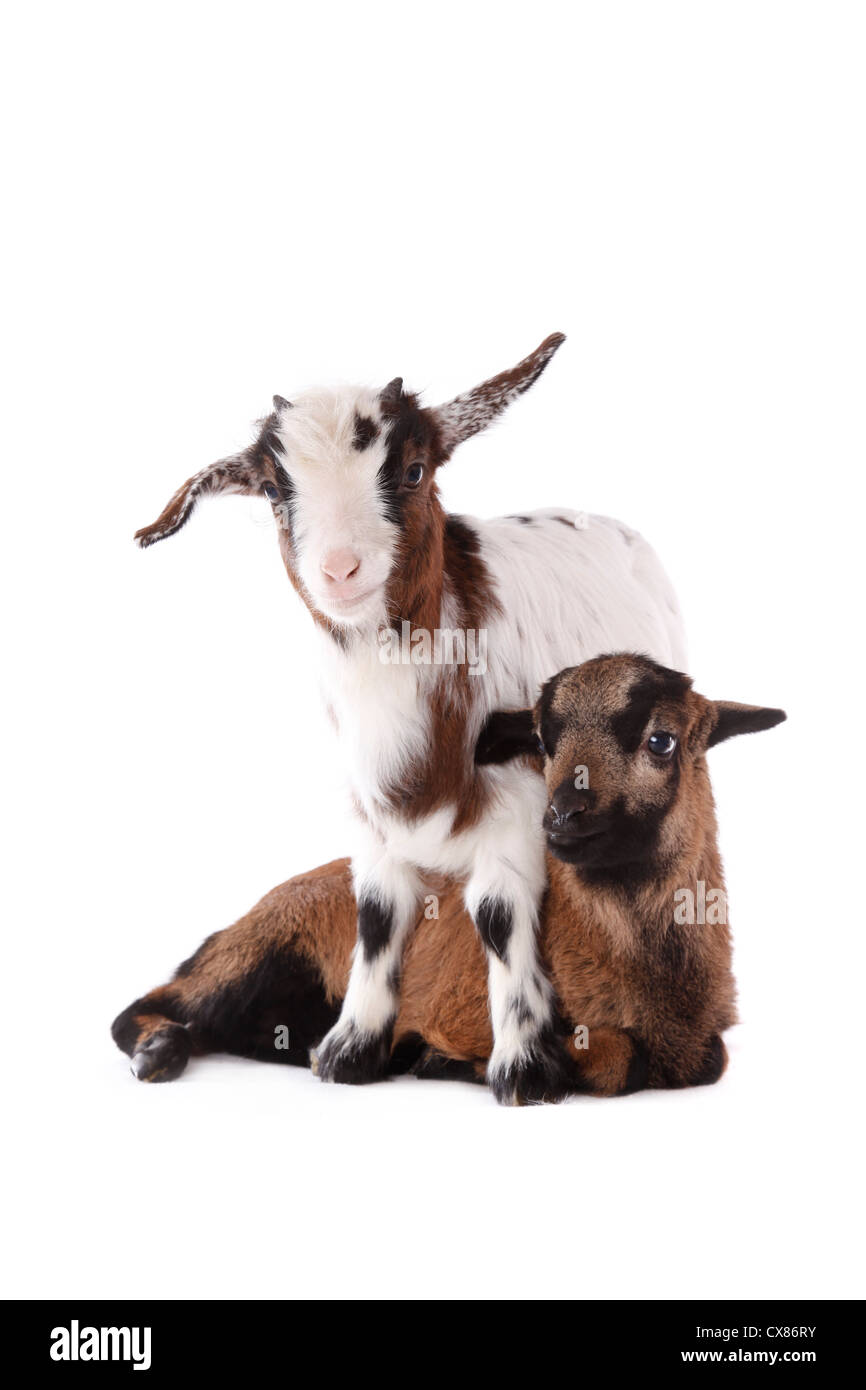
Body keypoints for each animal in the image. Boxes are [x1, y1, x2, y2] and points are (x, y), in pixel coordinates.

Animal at [111, 654, 785, 1098]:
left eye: (661, 741)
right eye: (542, 741)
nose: (560, 817)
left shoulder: (702, 1040)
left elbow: (714, 1059)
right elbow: (621, 1059)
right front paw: (447, 1062)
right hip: (253, 955)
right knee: (150, 1005)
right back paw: (159, 1054)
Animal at [134, 335, 686, 1104]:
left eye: (414, 470)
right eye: (275, 490)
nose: (340, 569)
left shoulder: (520, 812)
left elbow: (499, 918)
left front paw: (522, 1071)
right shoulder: (369, 822)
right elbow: (374, 916)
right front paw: (348, 1051)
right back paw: (159, 1049)